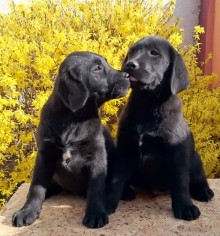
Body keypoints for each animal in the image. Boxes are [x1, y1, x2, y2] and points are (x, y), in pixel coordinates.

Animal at [11, 51, 131, 229]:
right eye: (97, 68)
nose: (128, 75)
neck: (74, 119)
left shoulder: (97, 154)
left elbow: (96, 187)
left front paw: (95, 213)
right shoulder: (44, 155)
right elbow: (36, 187)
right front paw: (27, 211)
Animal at [107, 36, 214, 220]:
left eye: (154, 53)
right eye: (132, 52)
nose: (130, 65)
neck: (148, 105)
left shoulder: (177, 152)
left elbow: (180, 182)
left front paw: (185, 207)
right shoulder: (125, 148)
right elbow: (117, 178)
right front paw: (107, 202)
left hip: (195, 157)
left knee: (198, 176)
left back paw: (203, 191)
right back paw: (127, 191)